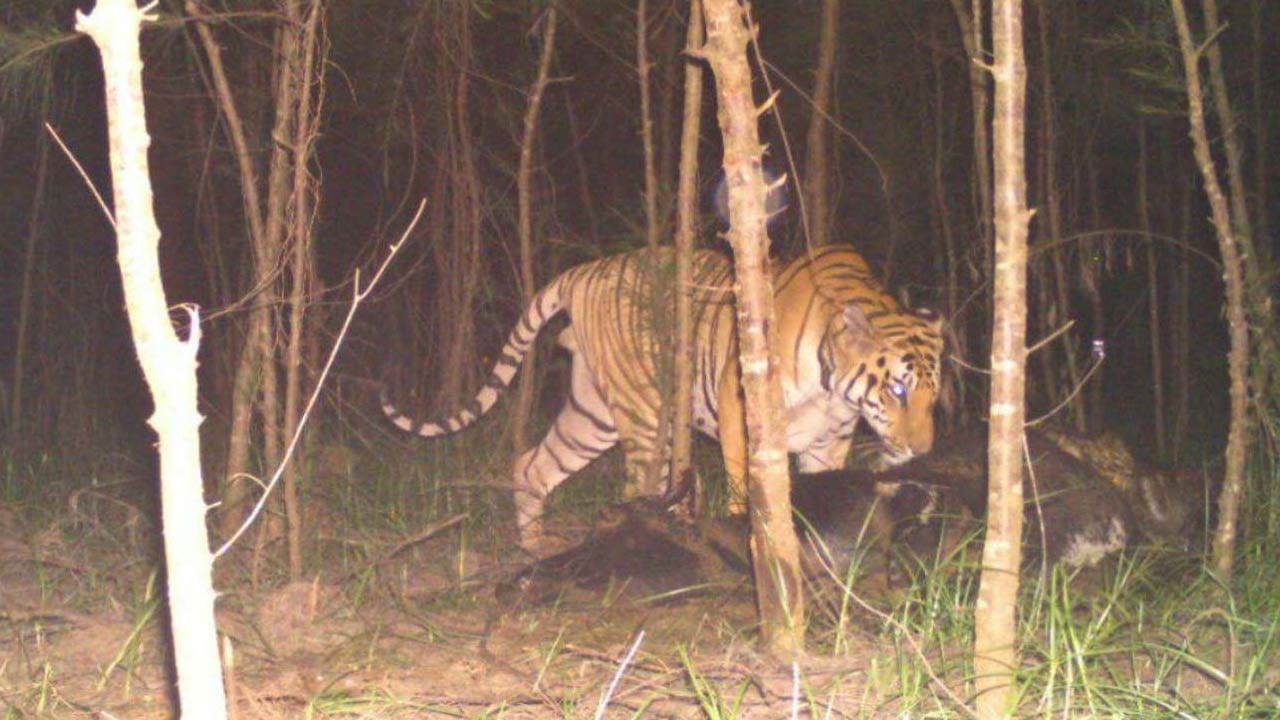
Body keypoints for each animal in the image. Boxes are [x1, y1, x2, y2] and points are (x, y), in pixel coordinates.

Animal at [381, 244, 946, 551]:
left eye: (932, 397)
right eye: (898, 389)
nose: (921, 451)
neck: (833, 391)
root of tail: (585, 270)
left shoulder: (828, 444)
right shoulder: (741, 414)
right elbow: (745, 494)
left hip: (592, 415)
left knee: (531, 465)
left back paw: (533, 546)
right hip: (643, 414)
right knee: (635, 491)